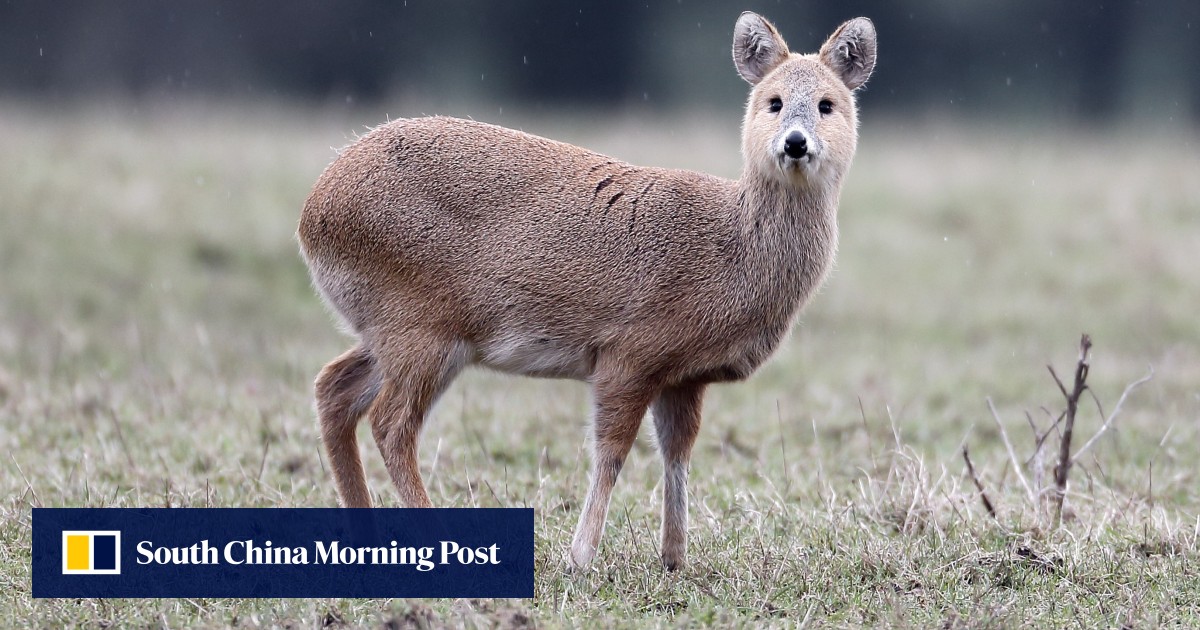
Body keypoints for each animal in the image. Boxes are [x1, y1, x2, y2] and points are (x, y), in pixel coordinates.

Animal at [297, 11, 876, 571]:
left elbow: (677, 453)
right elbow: (613, 451)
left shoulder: (684, 375)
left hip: (394, 329)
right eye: (772, 102)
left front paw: (674, 558)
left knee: (334, 389)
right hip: (421, 324)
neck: (732, 247)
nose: (795, 142)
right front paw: (581, 557)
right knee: (390, 424)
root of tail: (314, 211)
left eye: (827, 104)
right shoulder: (630, 352)